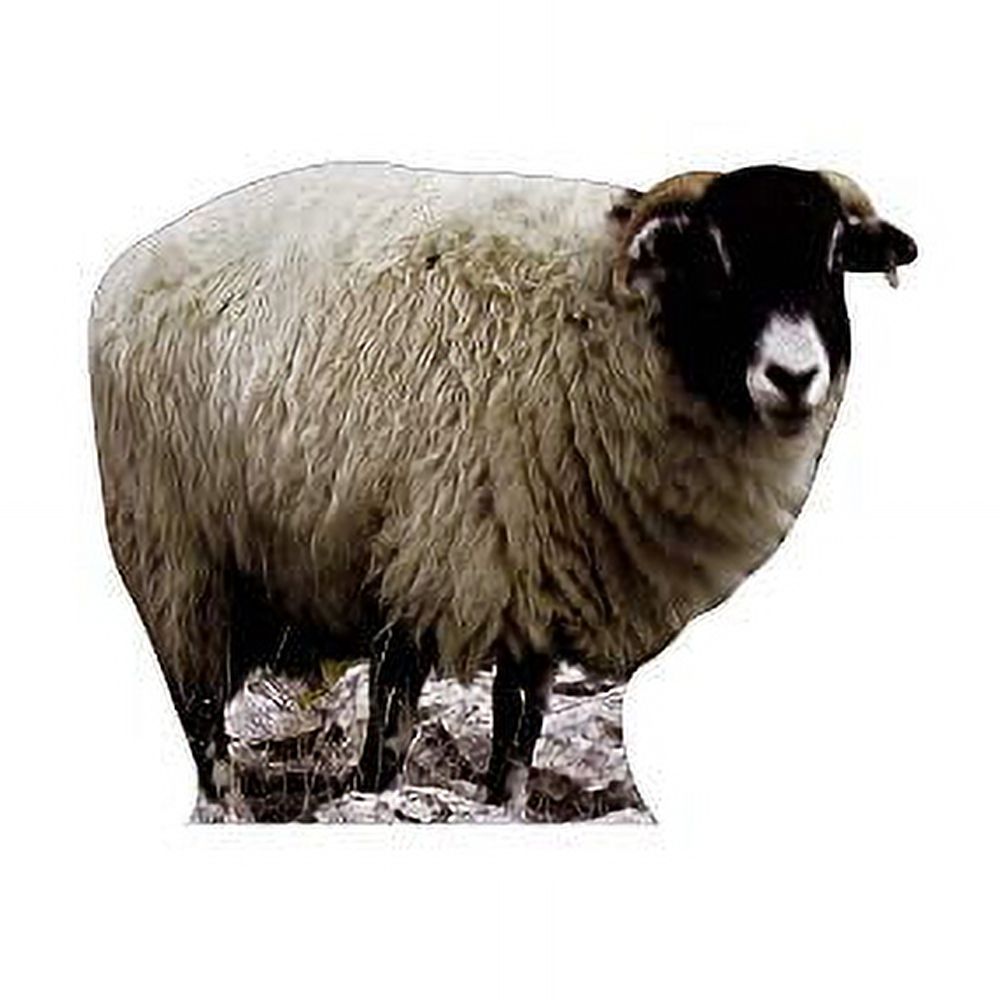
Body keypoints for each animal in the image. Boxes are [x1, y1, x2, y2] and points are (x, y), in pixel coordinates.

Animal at [89, 162, 916, 812]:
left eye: (834, 255)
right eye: (714, 253)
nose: (794, 376)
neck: (611, 323)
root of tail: (129, 266)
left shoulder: (539, 582)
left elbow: (519, 736)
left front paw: (503, 805)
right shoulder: (428, 562)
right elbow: (390, 740)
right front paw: (384, 799)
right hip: (174, 562)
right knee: (203, 726)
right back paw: (225, 806)